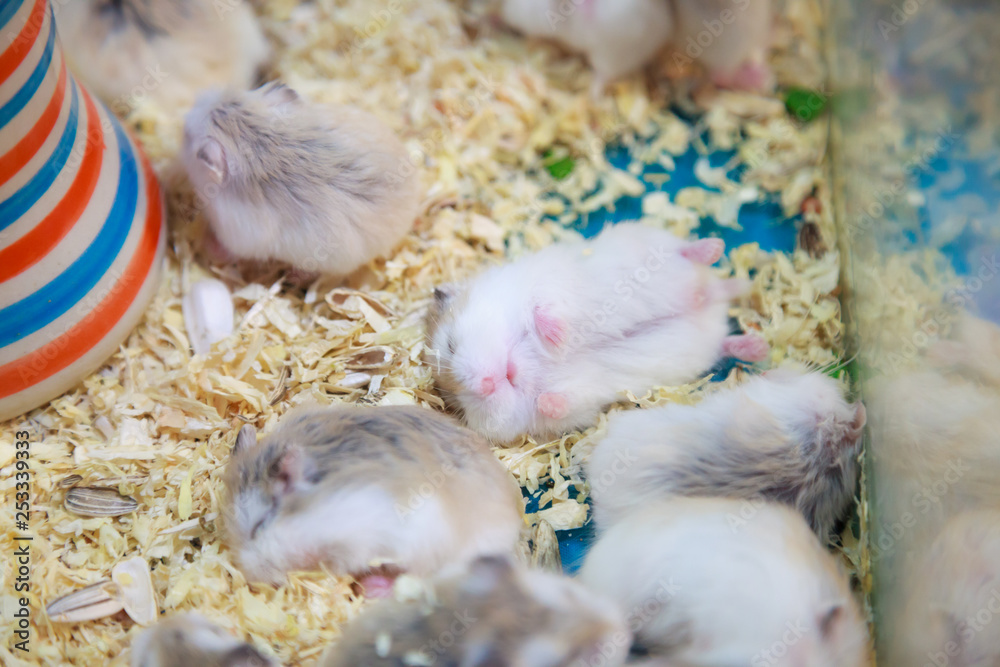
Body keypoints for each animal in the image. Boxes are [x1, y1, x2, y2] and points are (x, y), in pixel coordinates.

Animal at [182, 82, 421, 277]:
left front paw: (205, 244)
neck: (255, 139)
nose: (184, 115)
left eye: (187, 136)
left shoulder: (237, 233)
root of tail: (410, 206)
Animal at [426, 223, 768, 442]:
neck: (522, 356)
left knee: (685, 252)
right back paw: (756, 344)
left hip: (646, 241)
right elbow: (558, 402)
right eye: (459, 406)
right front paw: (546, 401)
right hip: (707, 346)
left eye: (452, 345)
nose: (488, 384)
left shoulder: (541, 284)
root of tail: (715, 298)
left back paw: (713, 248)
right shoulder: (578, 401)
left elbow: (543, 311)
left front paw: (559, 339)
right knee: (726, 341)